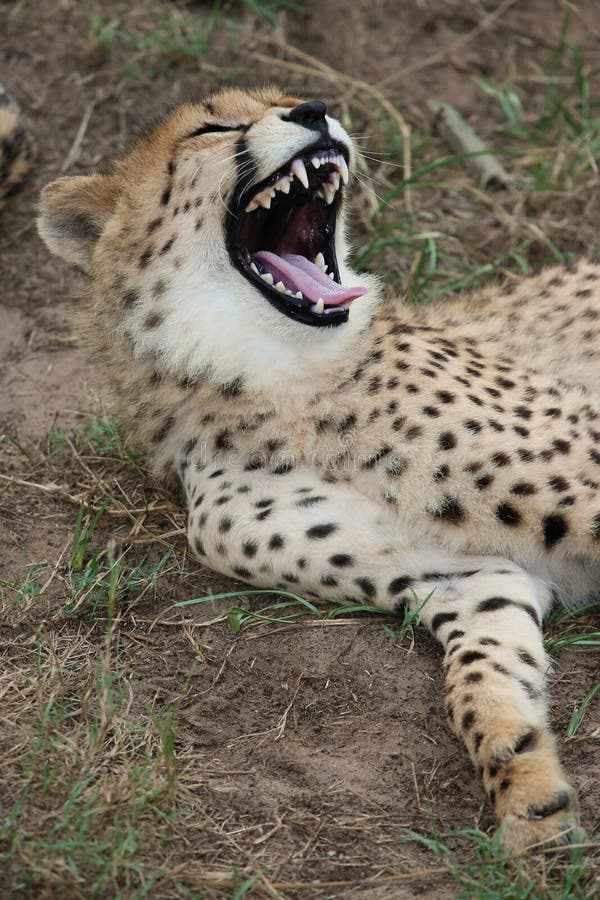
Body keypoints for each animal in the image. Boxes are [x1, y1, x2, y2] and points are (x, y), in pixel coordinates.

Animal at [38, 86, 600, 852]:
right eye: (213, 127)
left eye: (280, 101)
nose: (313, 108)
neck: (267, 383)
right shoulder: (473, 581)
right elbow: (483, 681)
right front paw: (529, 792)